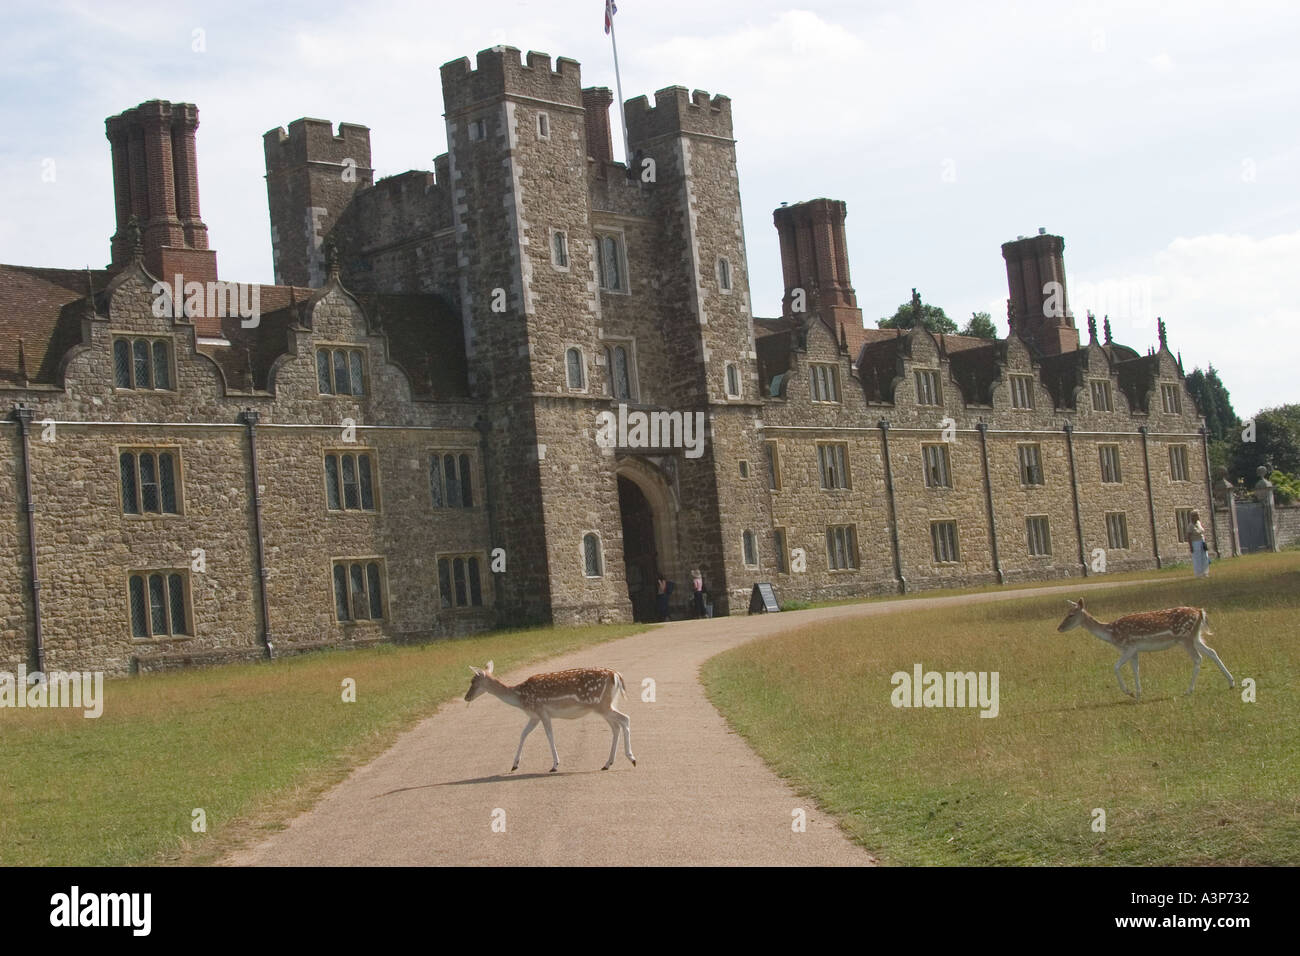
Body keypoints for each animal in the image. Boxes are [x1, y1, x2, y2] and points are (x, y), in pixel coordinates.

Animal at [464, 661, 636, 773]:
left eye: (473, 681)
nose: (466, 697)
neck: (520, 697)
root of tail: (616, 675)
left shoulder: (542, 711)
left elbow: (549, 735)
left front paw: (555, 765)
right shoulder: (534, 716)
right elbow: (523, 734)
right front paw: (514, 765)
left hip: (601, 705)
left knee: (625, 719)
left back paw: (631, 758)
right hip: (606, 705)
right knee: (616, 726)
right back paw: (607, 763)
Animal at [1057, 598, 1234, 700]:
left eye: (1071, 614)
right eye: (1066, 612)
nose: (1059, 628)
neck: (1112, 634)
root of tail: (1200, 612)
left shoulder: (1129, 647)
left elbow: (1115, 667)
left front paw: (1128, 692)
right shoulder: (1135, 651)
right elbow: (1136, 669)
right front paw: (1138, 693)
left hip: (1185, 637)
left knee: (1198, 658)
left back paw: (1188, 690)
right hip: (1195, 636)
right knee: (1212, 652)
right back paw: (1231, 682)